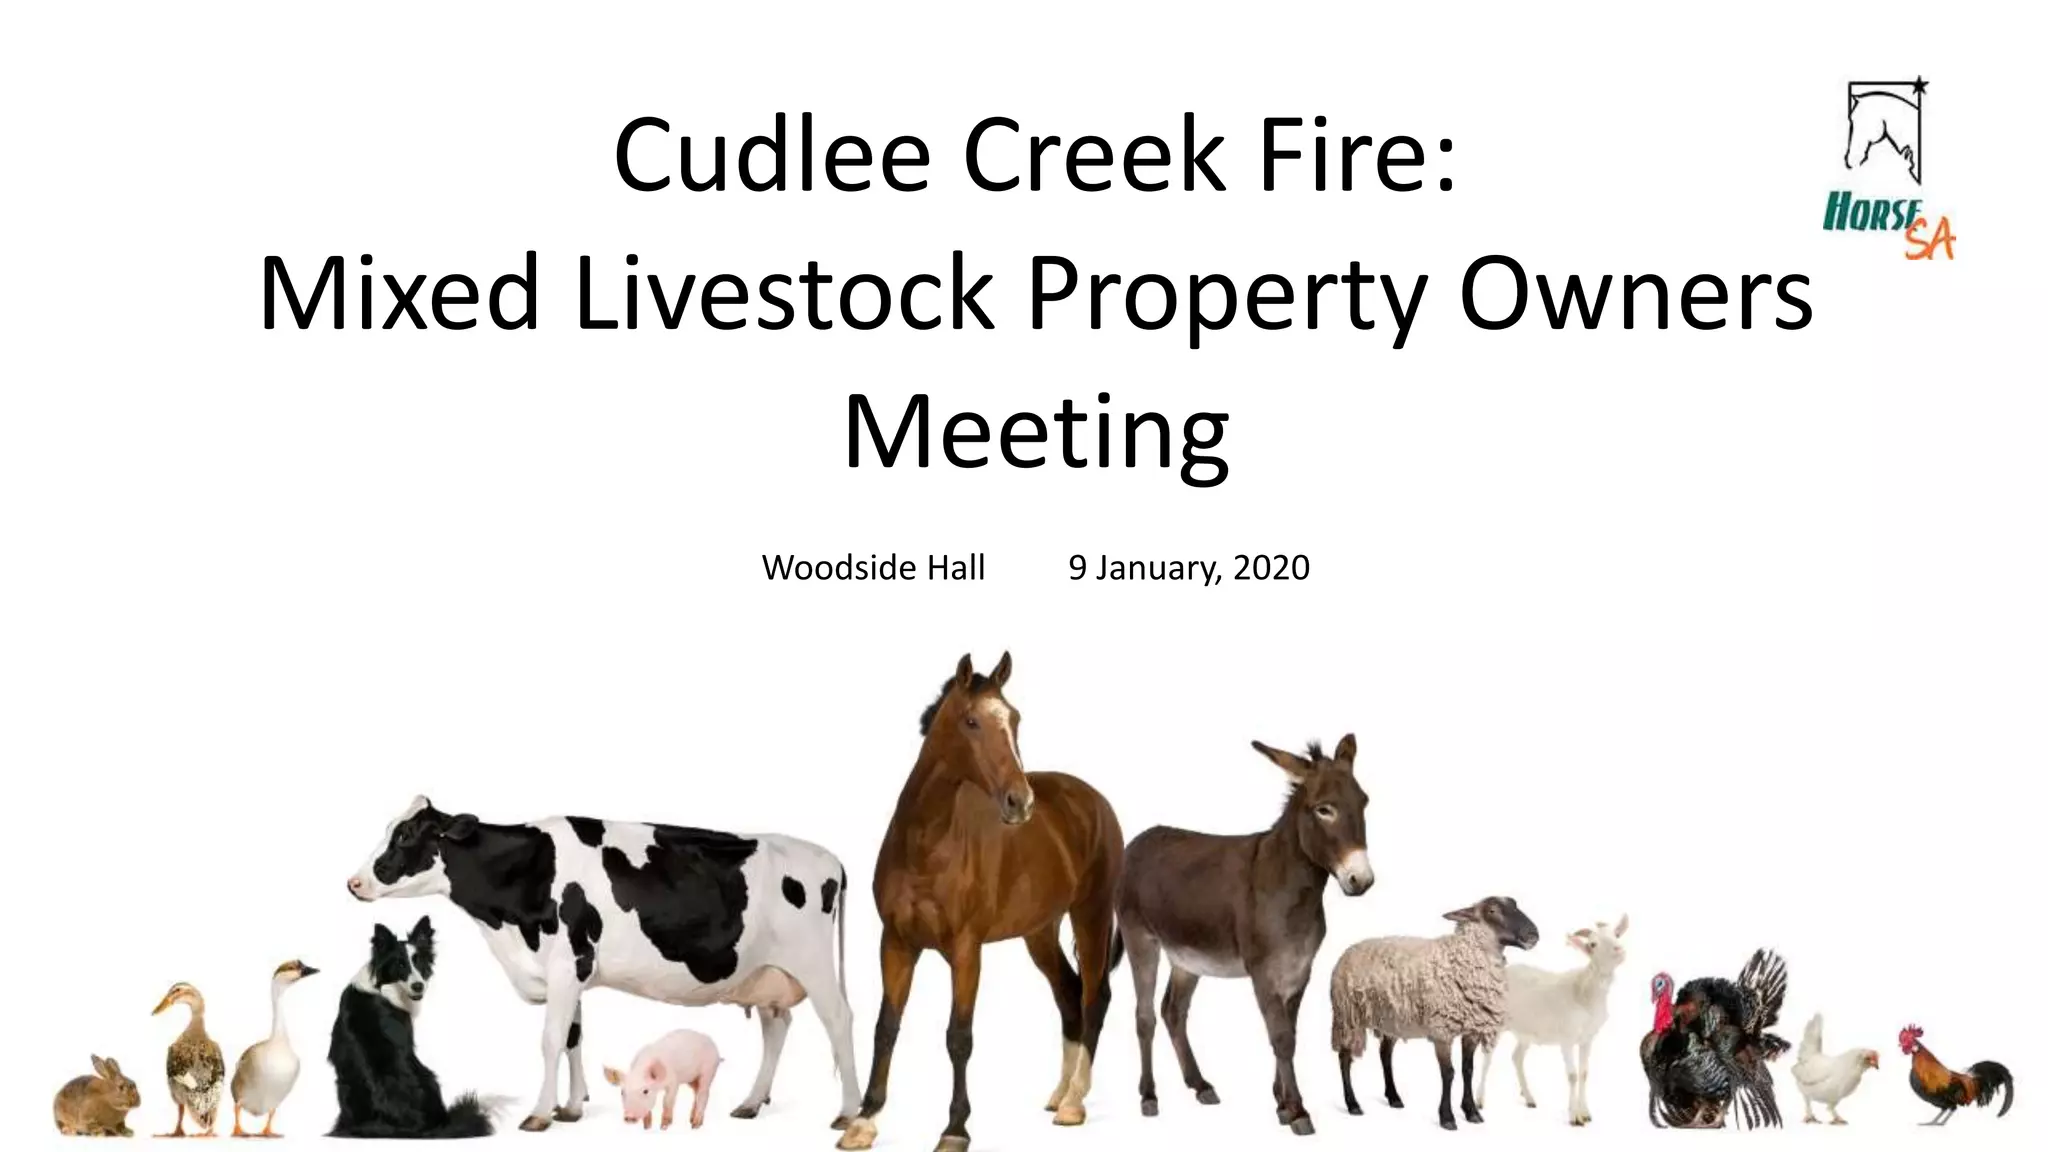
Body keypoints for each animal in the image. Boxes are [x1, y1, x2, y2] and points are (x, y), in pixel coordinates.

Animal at [836, 653, 1125, 1152]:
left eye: (1015, 719)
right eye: (972, 721)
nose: (1020, 802)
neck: (926, 845)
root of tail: (1093, 801)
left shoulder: (966, 951)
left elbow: (959, 1037)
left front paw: (955, 1128)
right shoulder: (895, 943)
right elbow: (885, 1028)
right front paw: (864, 1121)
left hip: (1091, 914)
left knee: (1095, 995)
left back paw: (1074, 1102)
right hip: (1040, 932)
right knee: (1069, 993)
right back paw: (1059, 1092)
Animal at [1116, 736, 1373, 1136]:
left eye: (1364, 802)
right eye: (1324, 810)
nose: (1361, 880)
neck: (1290, 887)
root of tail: (1140, 839)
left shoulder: (1299, 970)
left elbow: (1290, 1033)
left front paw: (1282, 1104)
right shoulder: (1263, 972)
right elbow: (1281, 1038)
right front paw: (1298, 1111)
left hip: (1187, 956)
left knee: (1173, 1011)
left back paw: (1200, 1085)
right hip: (1140, 940)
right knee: (1144, 1016)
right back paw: (1149, 1096)